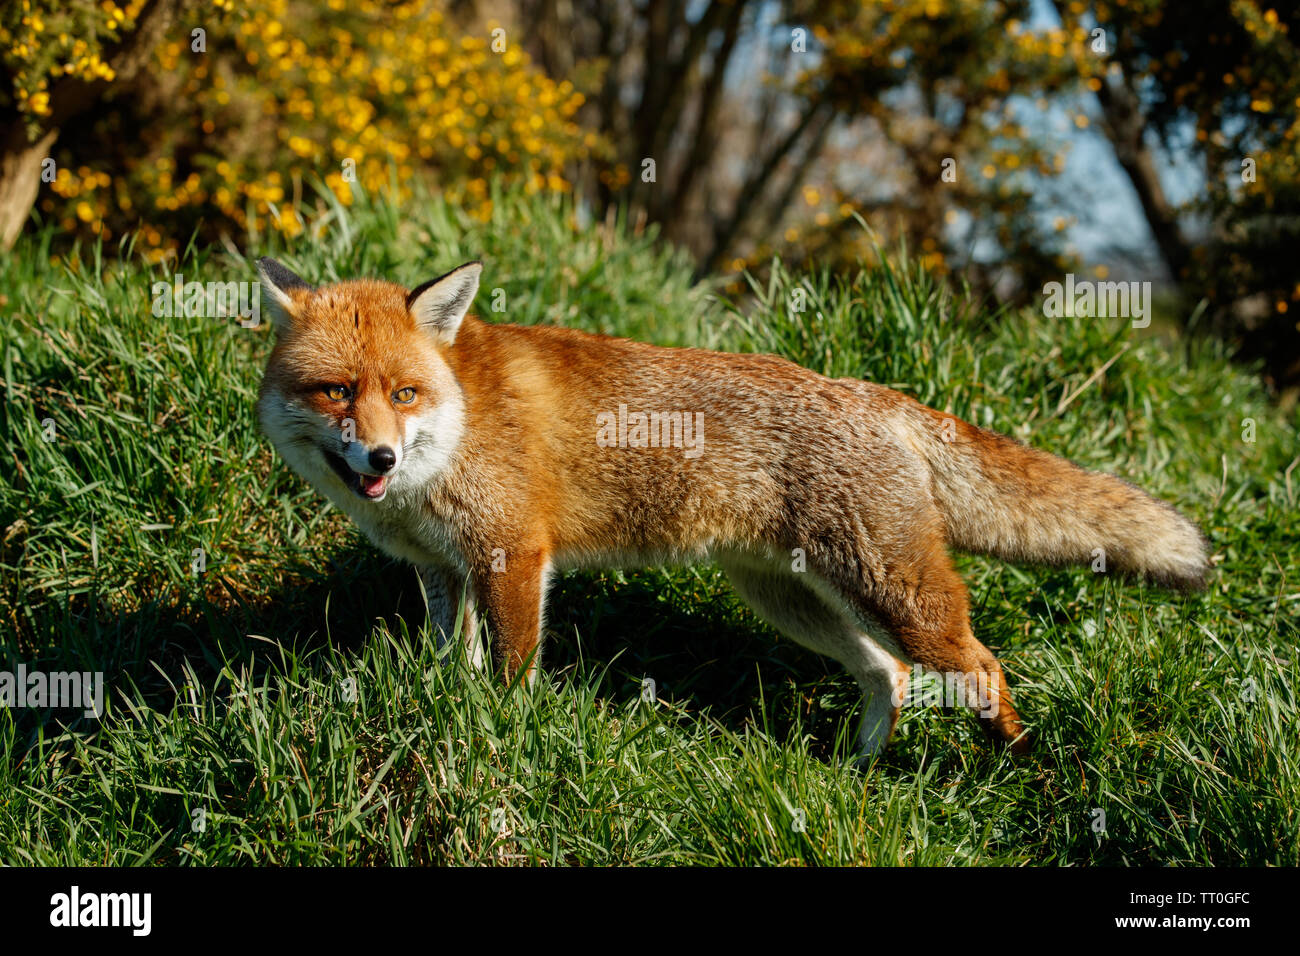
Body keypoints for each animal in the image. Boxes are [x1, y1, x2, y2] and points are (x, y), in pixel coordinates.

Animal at [255, 256, 1210, 759]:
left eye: (404, 394)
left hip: (893, 593)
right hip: (789, 598)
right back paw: (854, 775)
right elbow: (449, 661)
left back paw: (1015, 762)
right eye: (337, 392)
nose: (378, 457)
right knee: (890, 676)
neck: (453, 432)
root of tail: (872, 394)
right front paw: (448, 703)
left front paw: (503, 736)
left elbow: (511, 676)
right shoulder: (444, 572)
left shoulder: (514, 557)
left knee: (982, 668)